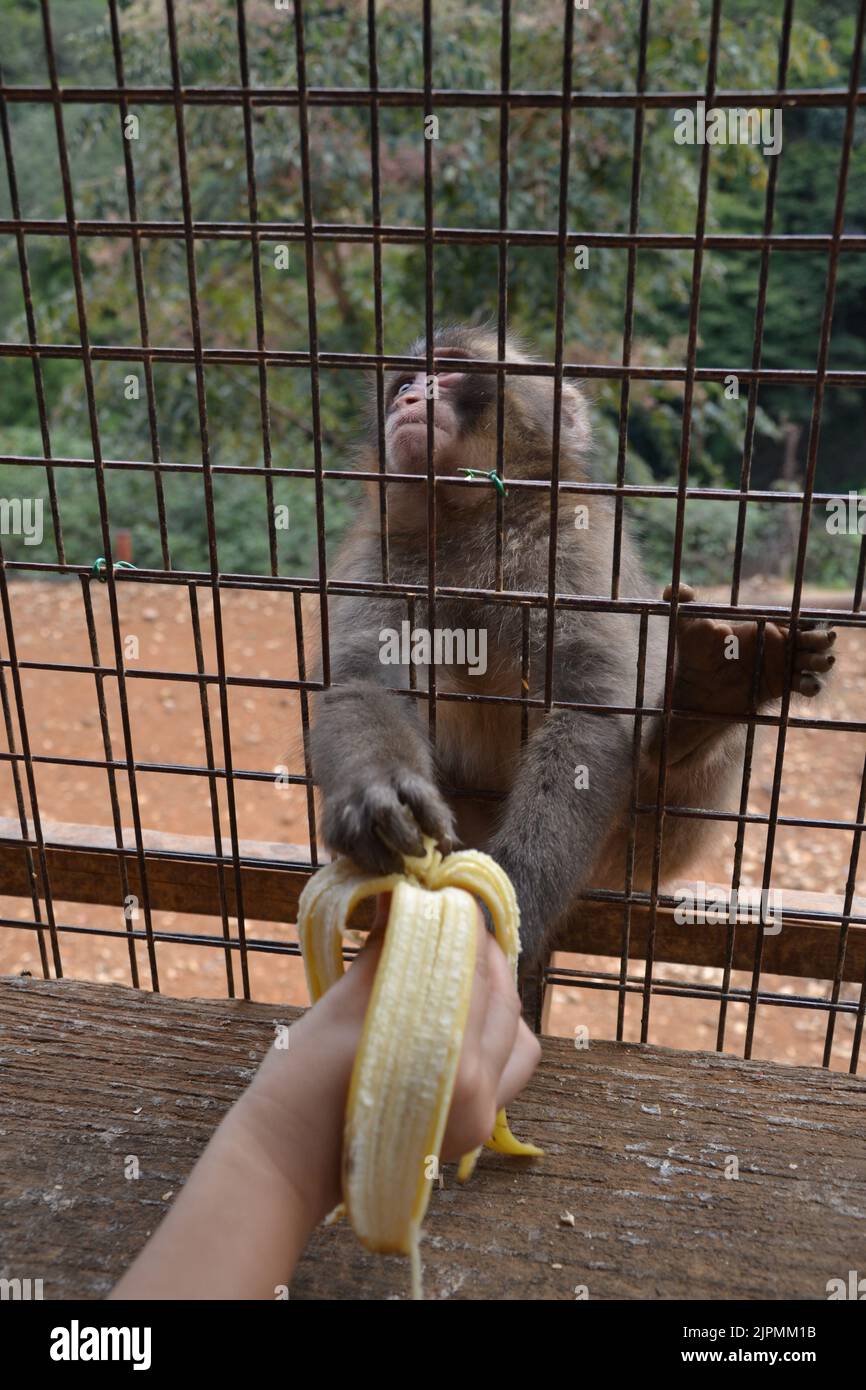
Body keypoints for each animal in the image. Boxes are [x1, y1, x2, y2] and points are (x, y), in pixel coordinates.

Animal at [309, 323, 837, 975]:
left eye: (448, 370)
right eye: (402, 382)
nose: (408, 398)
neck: (467, 518)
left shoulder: (573, 543)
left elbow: (589, 713)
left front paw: (510, 907)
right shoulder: (382, 557)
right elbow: (363, 683)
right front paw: (376, 798)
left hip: (637, 852)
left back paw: (709, 702)